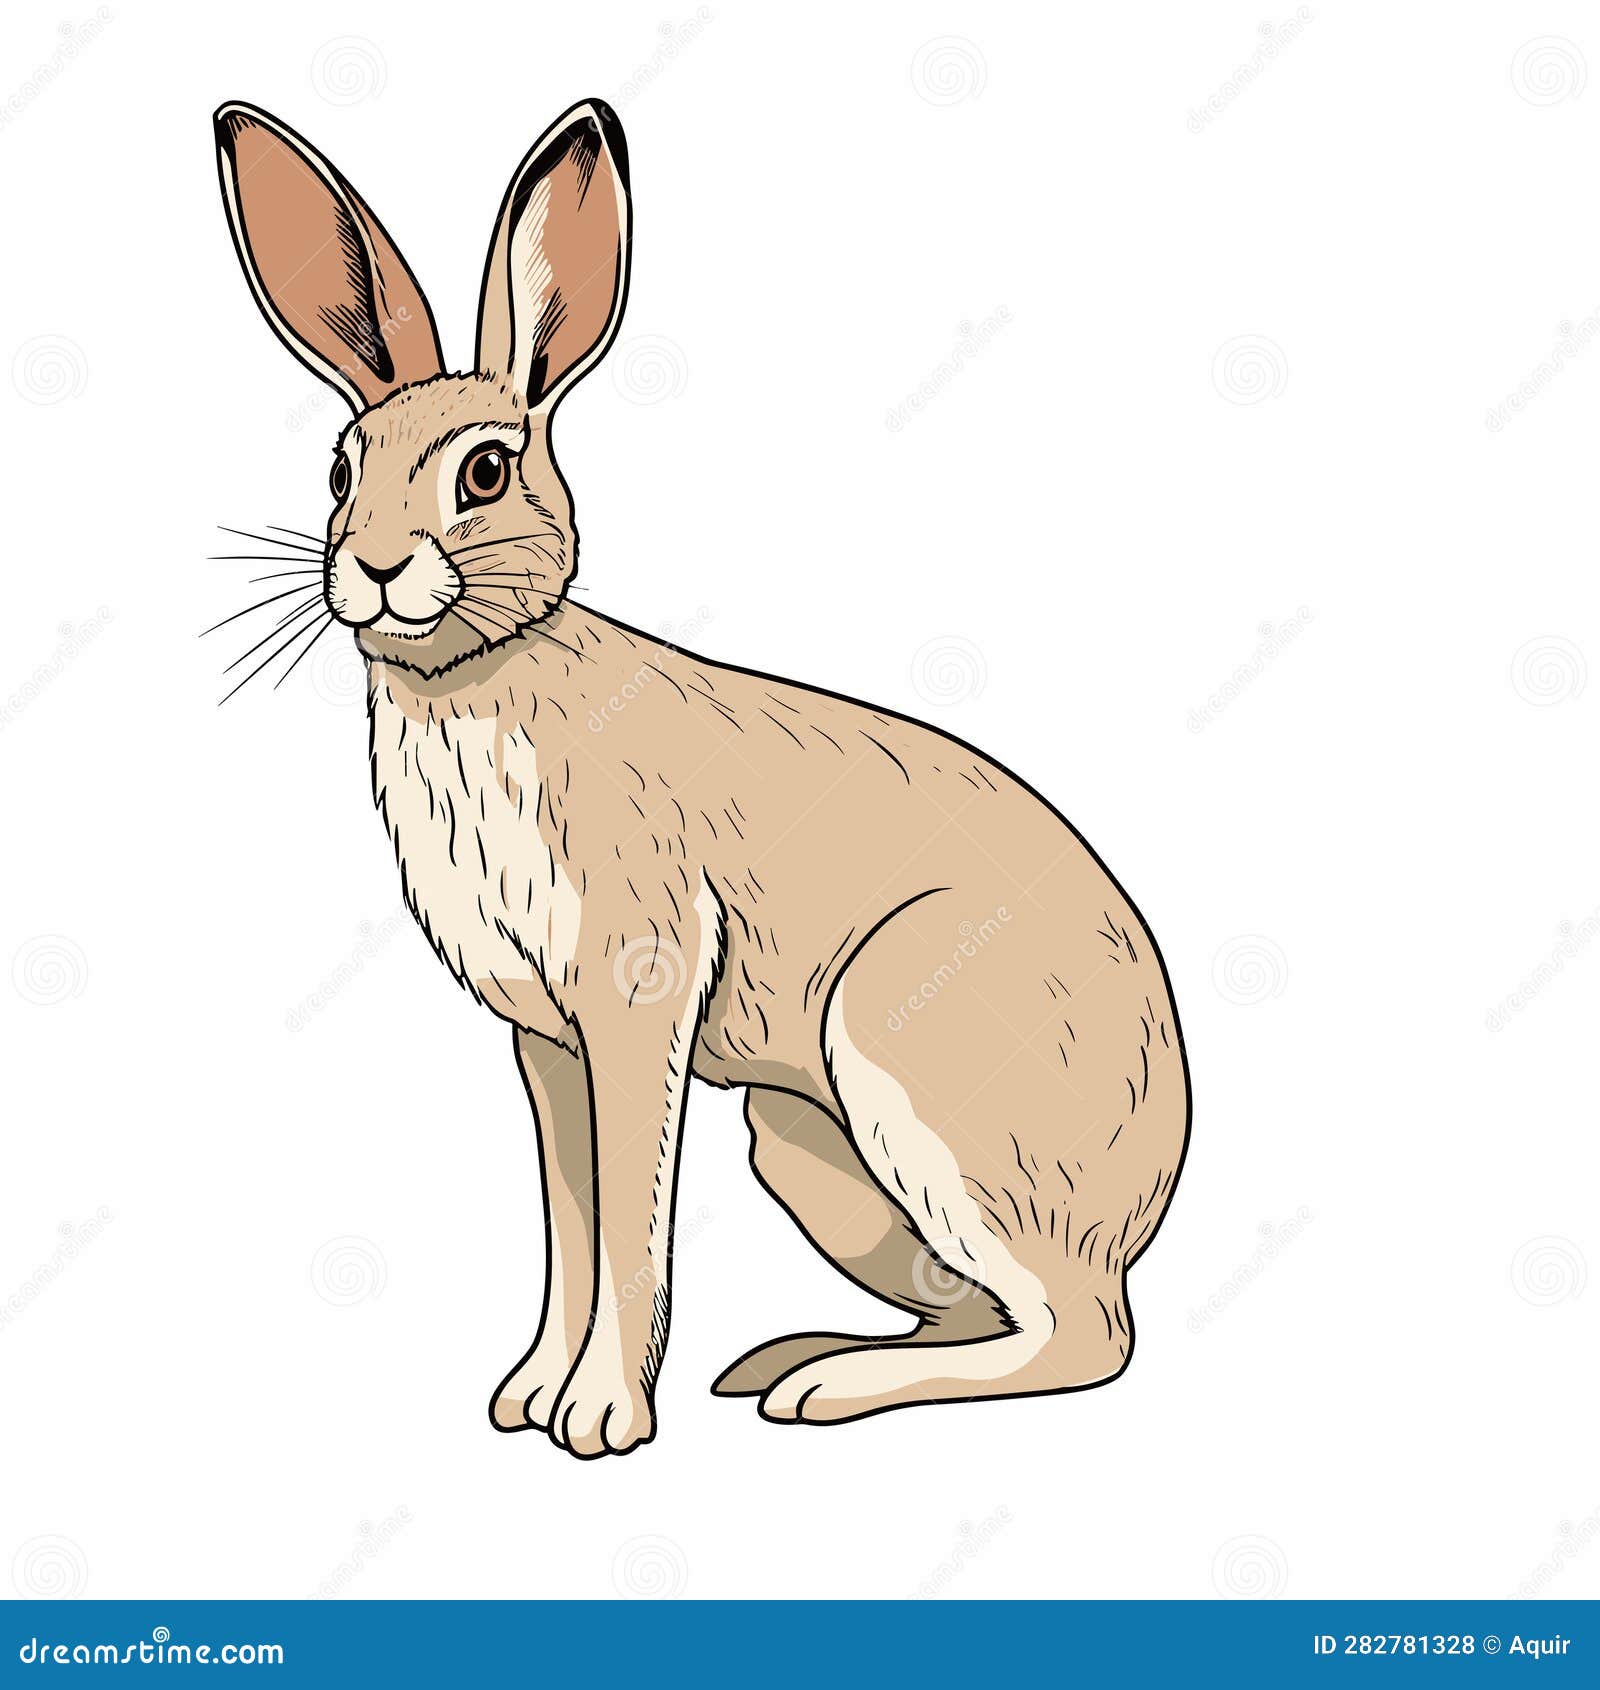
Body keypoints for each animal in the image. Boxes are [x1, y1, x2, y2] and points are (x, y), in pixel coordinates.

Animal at [213, 97, 1191, 1458]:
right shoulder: (546, 1040)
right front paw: (526, 1396)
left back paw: (827, 1390)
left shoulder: (636, 989)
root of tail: (1155, 1177)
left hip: (904, 1063)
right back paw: (791, 1359)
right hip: (805, 1149)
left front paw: (598, 1419)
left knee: (1081, 1333)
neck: (481, 671)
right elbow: (571, 1222)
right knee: (982, 1309)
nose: (376, 565)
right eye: (340, 470)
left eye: (483, 473)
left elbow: (631, 1220)